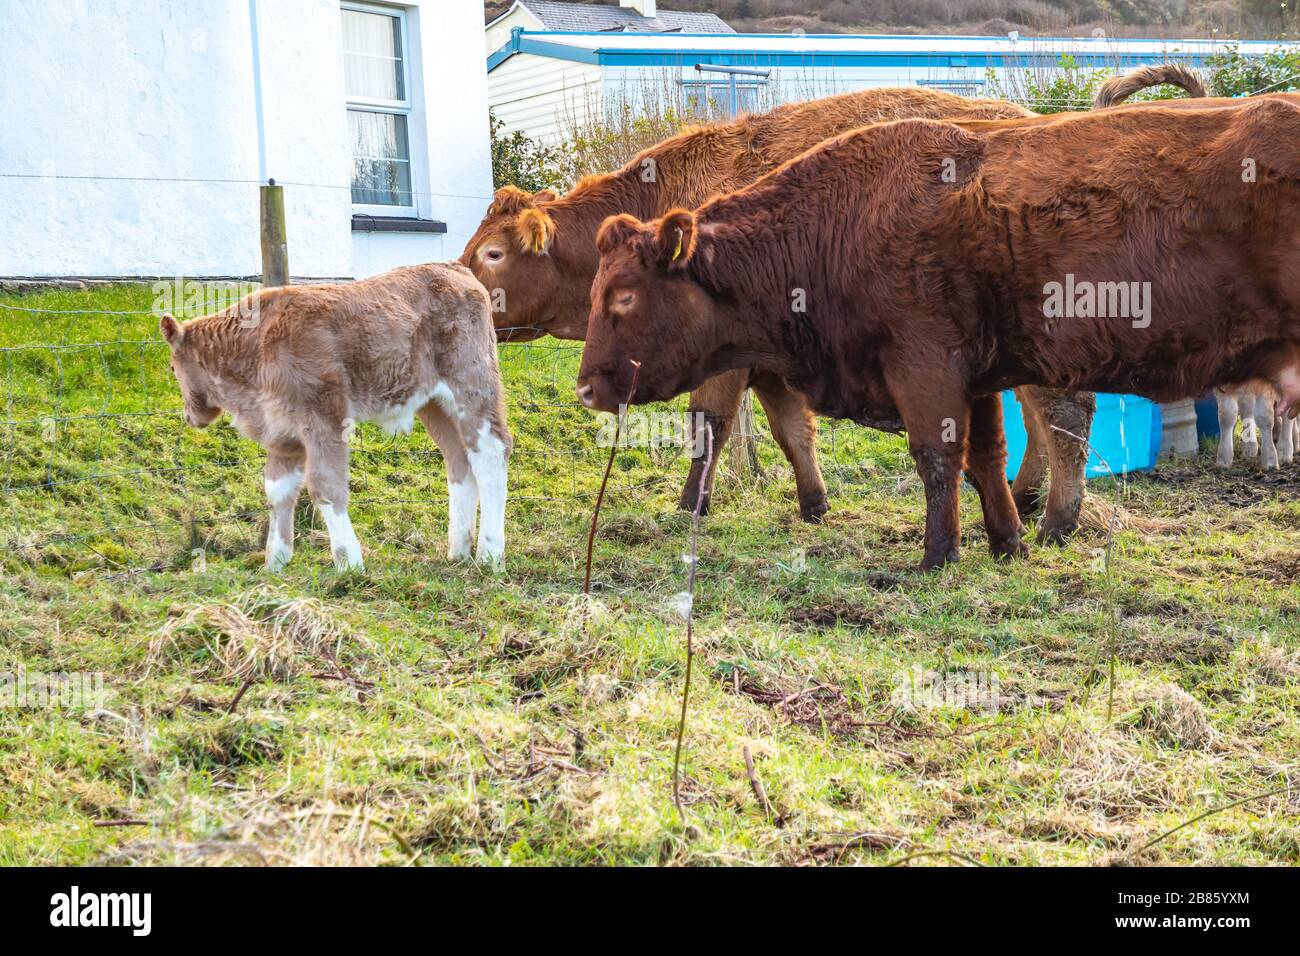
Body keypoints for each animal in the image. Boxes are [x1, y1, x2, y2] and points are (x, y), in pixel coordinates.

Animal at [162, 263, 511, 571]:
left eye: (172, 367)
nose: (189, 416)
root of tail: (456, 268)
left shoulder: (324, 417)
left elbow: (325, 486)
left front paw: (348, 563)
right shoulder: (281, 432)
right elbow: (276, 490)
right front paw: (275, 561)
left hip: (473, 383)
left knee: (492, 451)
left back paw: (490, 554)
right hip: (434, 403)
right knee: (460, 460)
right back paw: (459, 550)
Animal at [462, 82, 1212, 538]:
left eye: (493, 254)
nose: (459, 287)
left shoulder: (722, 357)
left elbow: (709, 426)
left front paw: (689, 506)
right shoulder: (773, 358)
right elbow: (792, 429)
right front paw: (814, 503)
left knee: (1066, 413)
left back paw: (1058, 520)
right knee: (1038, 413)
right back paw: (1023, 501)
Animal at [575, 100, 1300, 569]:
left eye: (624, 296)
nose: (585, 388)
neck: (843, 220)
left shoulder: (926, 369)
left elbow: (937, 457)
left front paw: (938, 554)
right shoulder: (977, 381)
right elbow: (986, 456)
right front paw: (1007, 543)